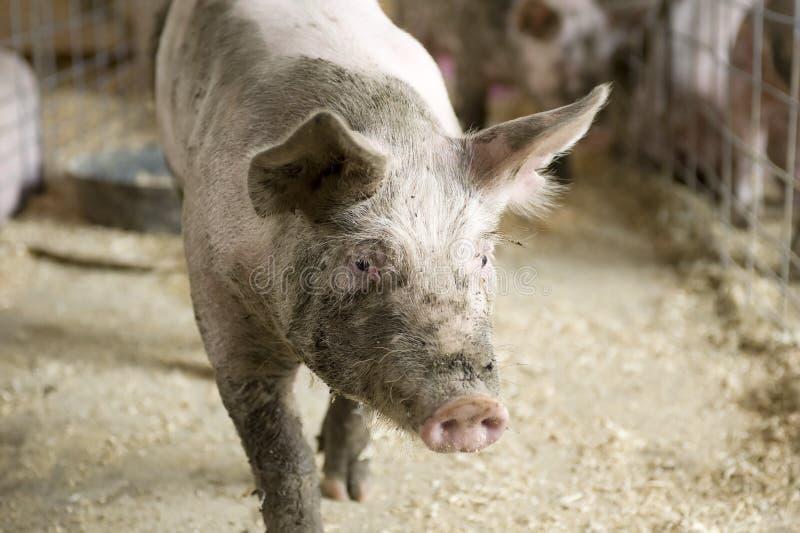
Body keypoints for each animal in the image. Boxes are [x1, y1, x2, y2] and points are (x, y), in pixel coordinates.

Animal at [156, 1, 608, 530]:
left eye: (481, 257)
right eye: (362, 261)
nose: (471, 405)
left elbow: (353, 403)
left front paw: (351, 493)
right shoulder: (223, 298)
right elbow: (281, 455)